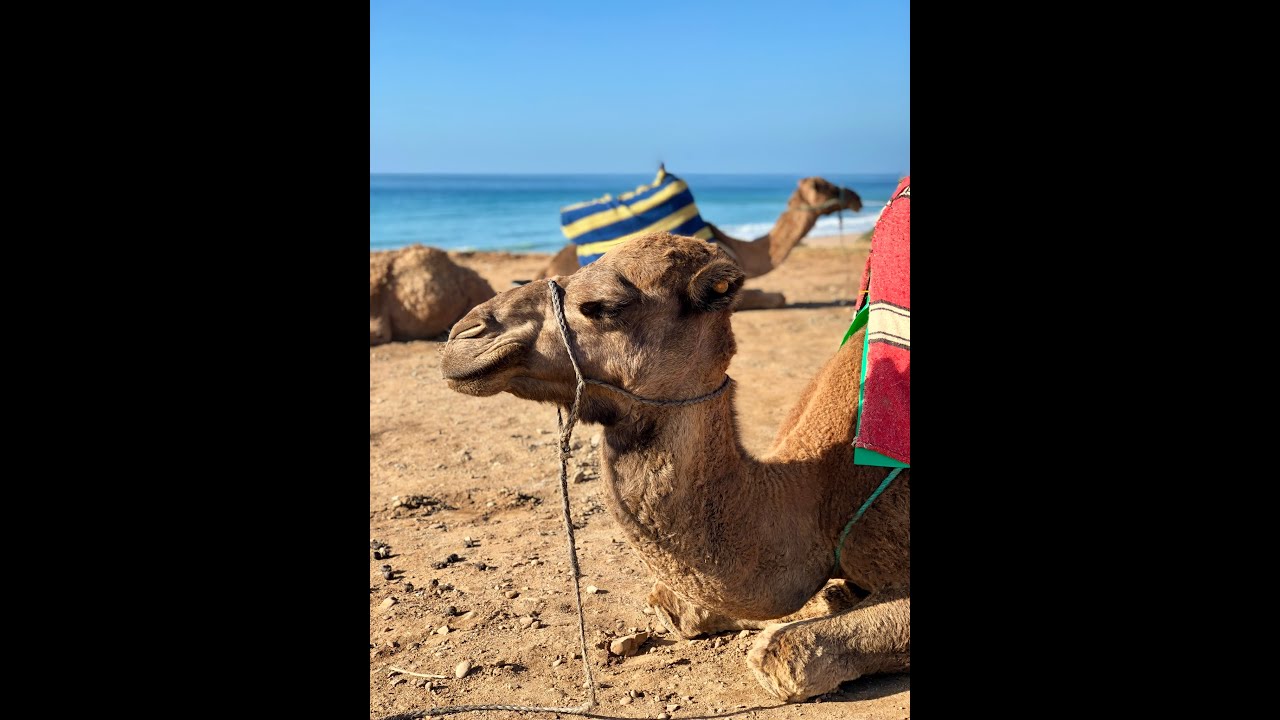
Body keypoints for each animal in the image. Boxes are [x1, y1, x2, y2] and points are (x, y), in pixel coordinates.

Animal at [441, 231, 909, 702]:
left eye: (602, 305)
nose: (464, 335)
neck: (816, 493)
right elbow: (676, 607)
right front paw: (830, 597)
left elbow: (779, 657)